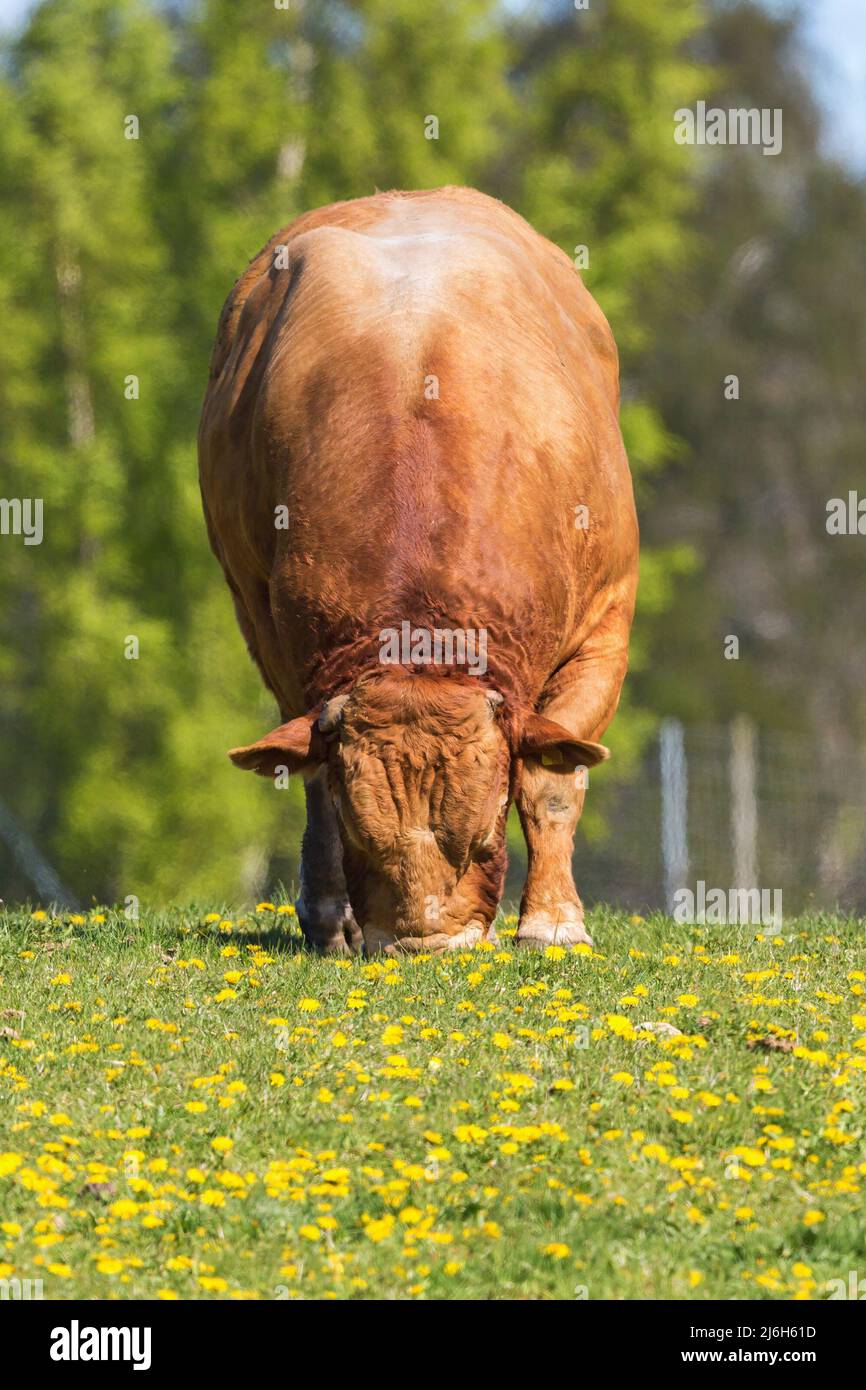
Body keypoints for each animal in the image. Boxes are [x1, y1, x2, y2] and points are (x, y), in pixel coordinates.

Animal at [198, 187, 638, 955]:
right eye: (360, 835)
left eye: (487, 833)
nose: (424, 947)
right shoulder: (271, 627)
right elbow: (313, 779)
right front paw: (329, 915)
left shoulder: (606, 619)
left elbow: (555, 783)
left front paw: (553, 923)